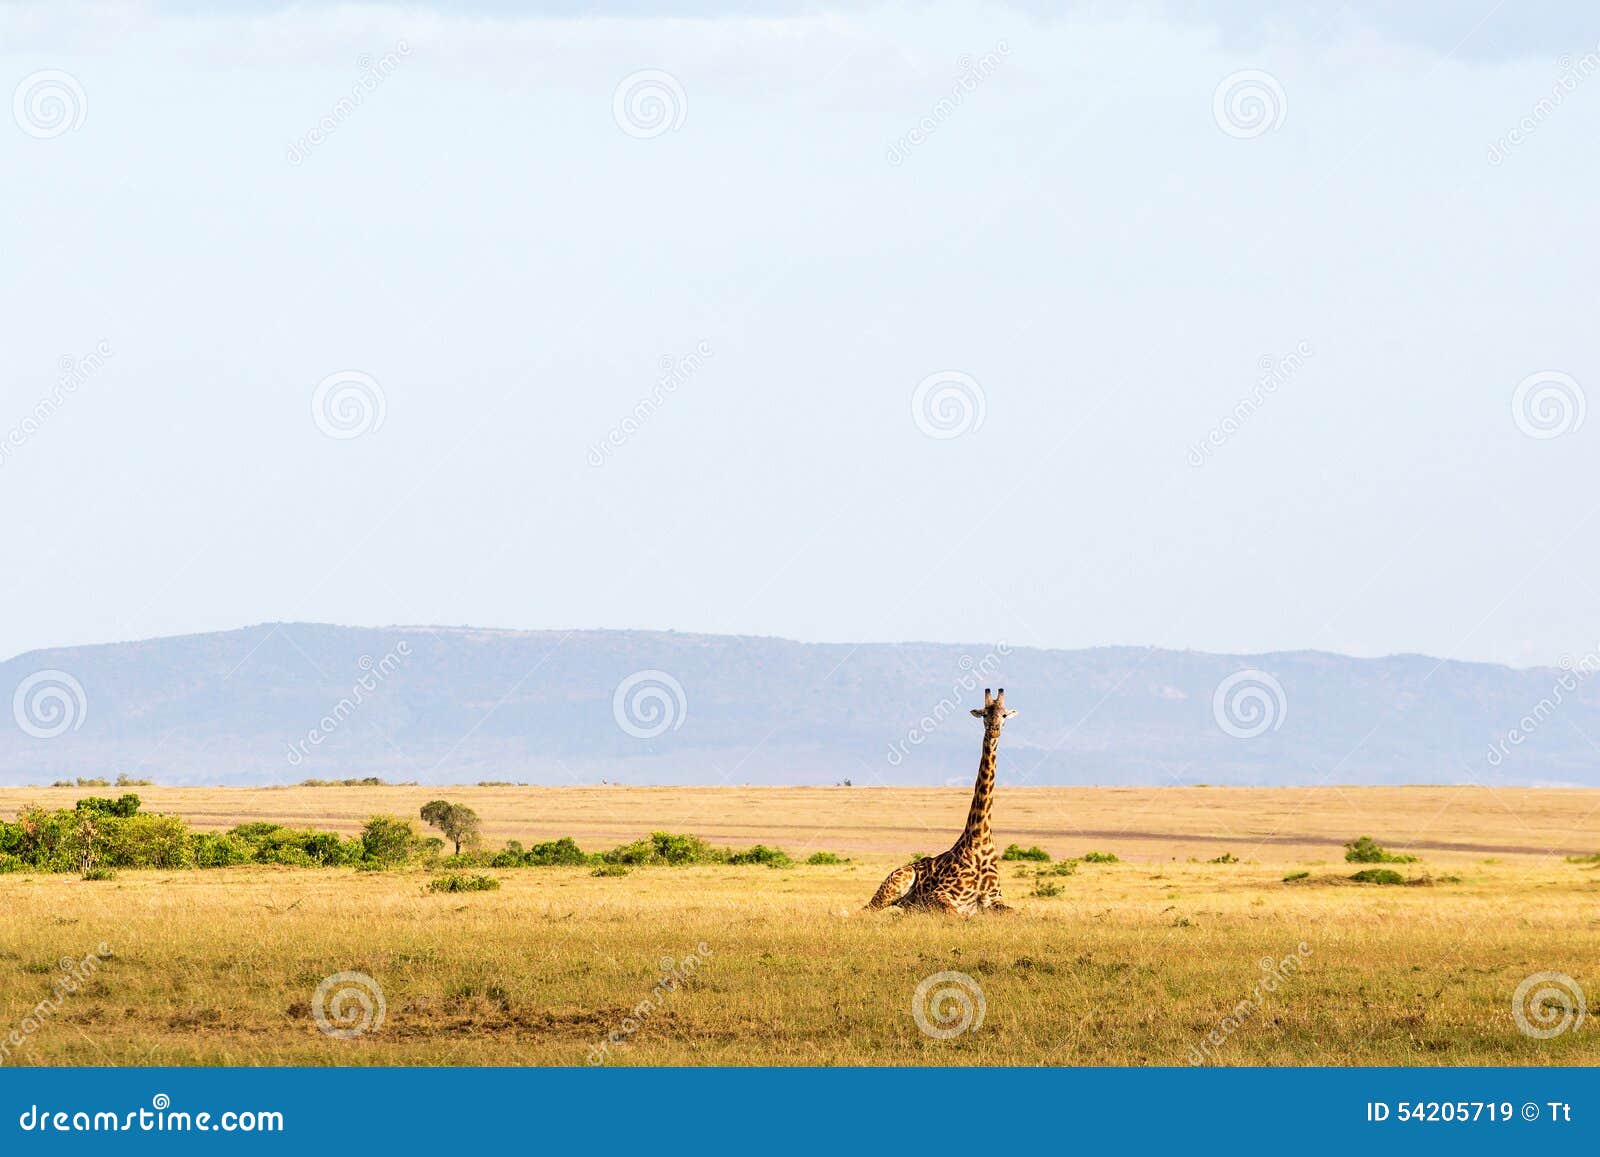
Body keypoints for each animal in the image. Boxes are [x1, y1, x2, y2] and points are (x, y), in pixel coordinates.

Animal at [865, 687, 1015, 915]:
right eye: (984, 714)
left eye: (1004, 715)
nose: (994, 730)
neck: (980, 839)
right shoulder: (937, 895)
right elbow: (954, 914)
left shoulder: (995, 898)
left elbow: (1016, 912)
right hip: (893, 886)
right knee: (864, 910)